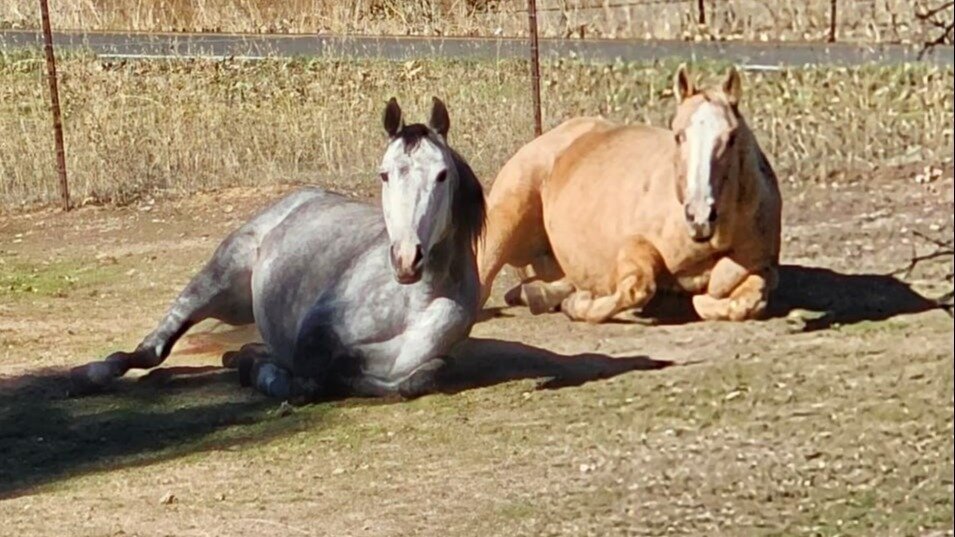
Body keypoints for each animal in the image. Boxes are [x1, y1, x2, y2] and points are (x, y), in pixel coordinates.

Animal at [71, 97, 487, 400]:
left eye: (441, 175)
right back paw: (93, 373)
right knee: (155, 345)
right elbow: (309, 382)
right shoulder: (312, 340)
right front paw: (259, 371)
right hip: (220, 284)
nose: (405, 260)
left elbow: (418, 376)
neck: (415, 300)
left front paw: (248, 361)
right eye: (384, 174)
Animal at [477, 65, 782, 323]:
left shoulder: (759, 269)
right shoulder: (633, 246)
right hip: (505, 221)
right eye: (678, 135)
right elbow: (637, 287)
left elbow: (748, 301)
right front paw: (580, 305)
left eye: (731, 137)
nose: (700, 217)